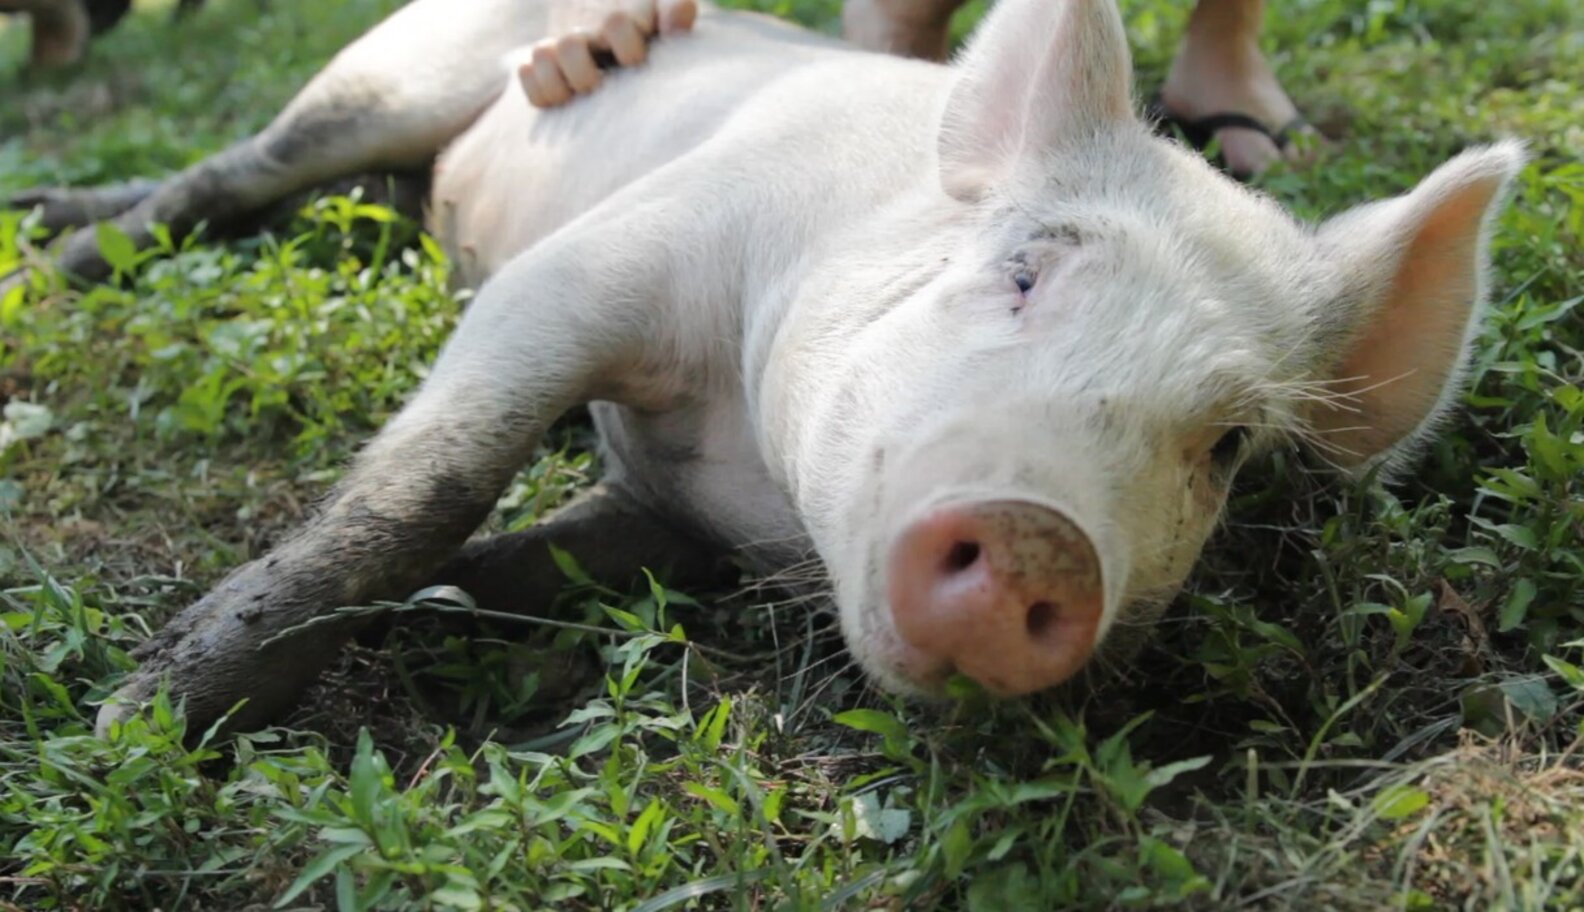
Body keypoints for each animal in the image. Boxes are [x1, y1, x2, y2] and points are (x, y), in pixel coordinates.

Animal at [47, 0, 1521, 737]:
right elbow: (434, 483)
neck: (738, 471)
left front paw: (450, 608)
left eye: (1222, 447)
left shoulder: (672, 516)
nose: (1037, 541)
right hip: (386, 77)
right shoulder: (592, 269)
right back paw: (67, 256)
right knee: (235, 173)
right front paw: (138, 722)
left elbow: (538, 554)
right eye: (1023, 271)